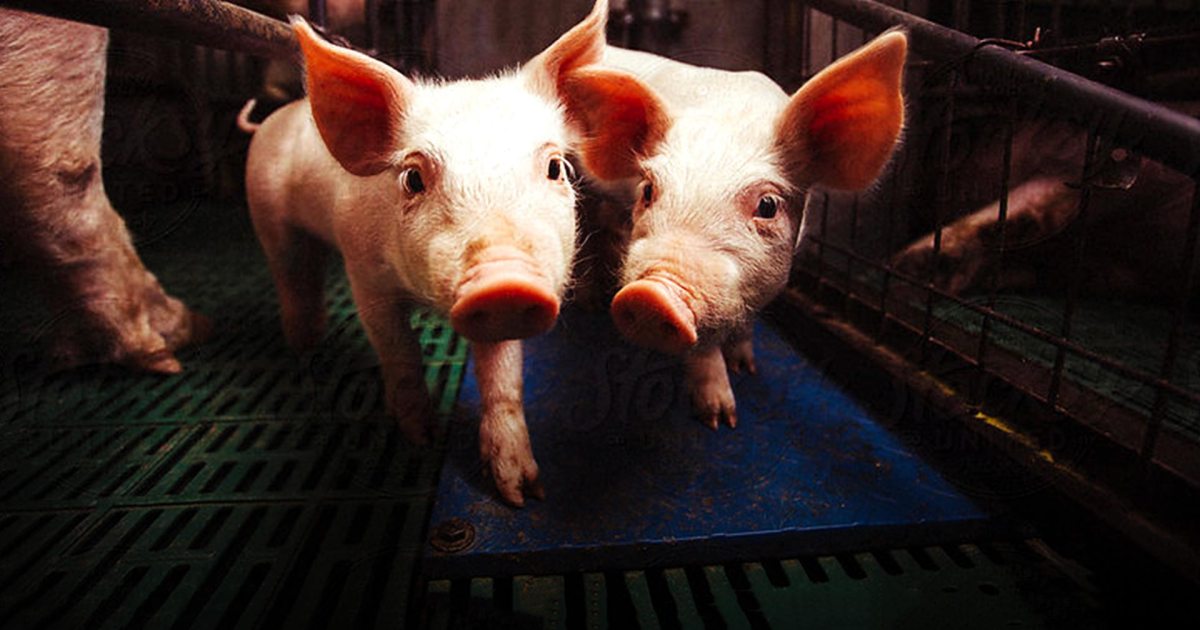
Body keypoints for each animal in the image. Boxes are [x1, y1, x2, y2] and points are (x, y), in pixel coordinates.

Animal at [243, 0, 646, 506]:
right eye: (414, 178)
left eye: (556, 167)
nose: (505, 279)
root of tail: (273, 119)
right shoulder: (364, 274)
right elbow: (399, 350)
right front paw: (422, 438)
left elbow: (503, 374)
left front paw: (522, 494)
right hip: (266, 210)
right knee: (292, 273)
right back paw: (305, 344)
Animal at [562, 32, 908, 429]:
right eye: (648, 190)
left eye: (768, 205)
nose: (650, 294)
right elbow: (702, 346)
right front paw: (722, 418)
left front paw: (746, 367)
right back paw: (590, 302)